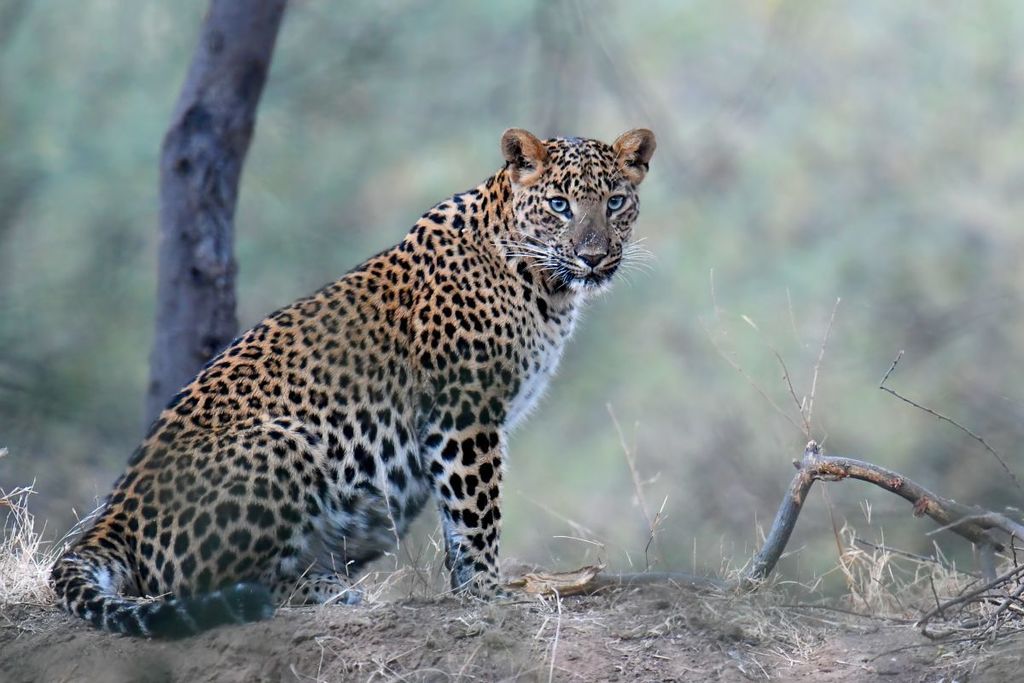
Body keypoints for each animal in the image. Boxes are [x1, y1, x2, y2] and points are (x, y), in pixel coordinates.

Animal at [51, 127, 657, 638]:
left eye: (615, 202)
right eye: (559, 205)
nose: (594, 256)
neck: (544, 285)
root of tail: (116, 516)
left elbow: (458, 523)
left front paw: (470, 589)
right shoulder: (464, 413)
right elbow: (476, 512)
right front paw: (488, 591)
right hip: (287, 444)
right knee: (205, 586)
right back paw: (322, 590)